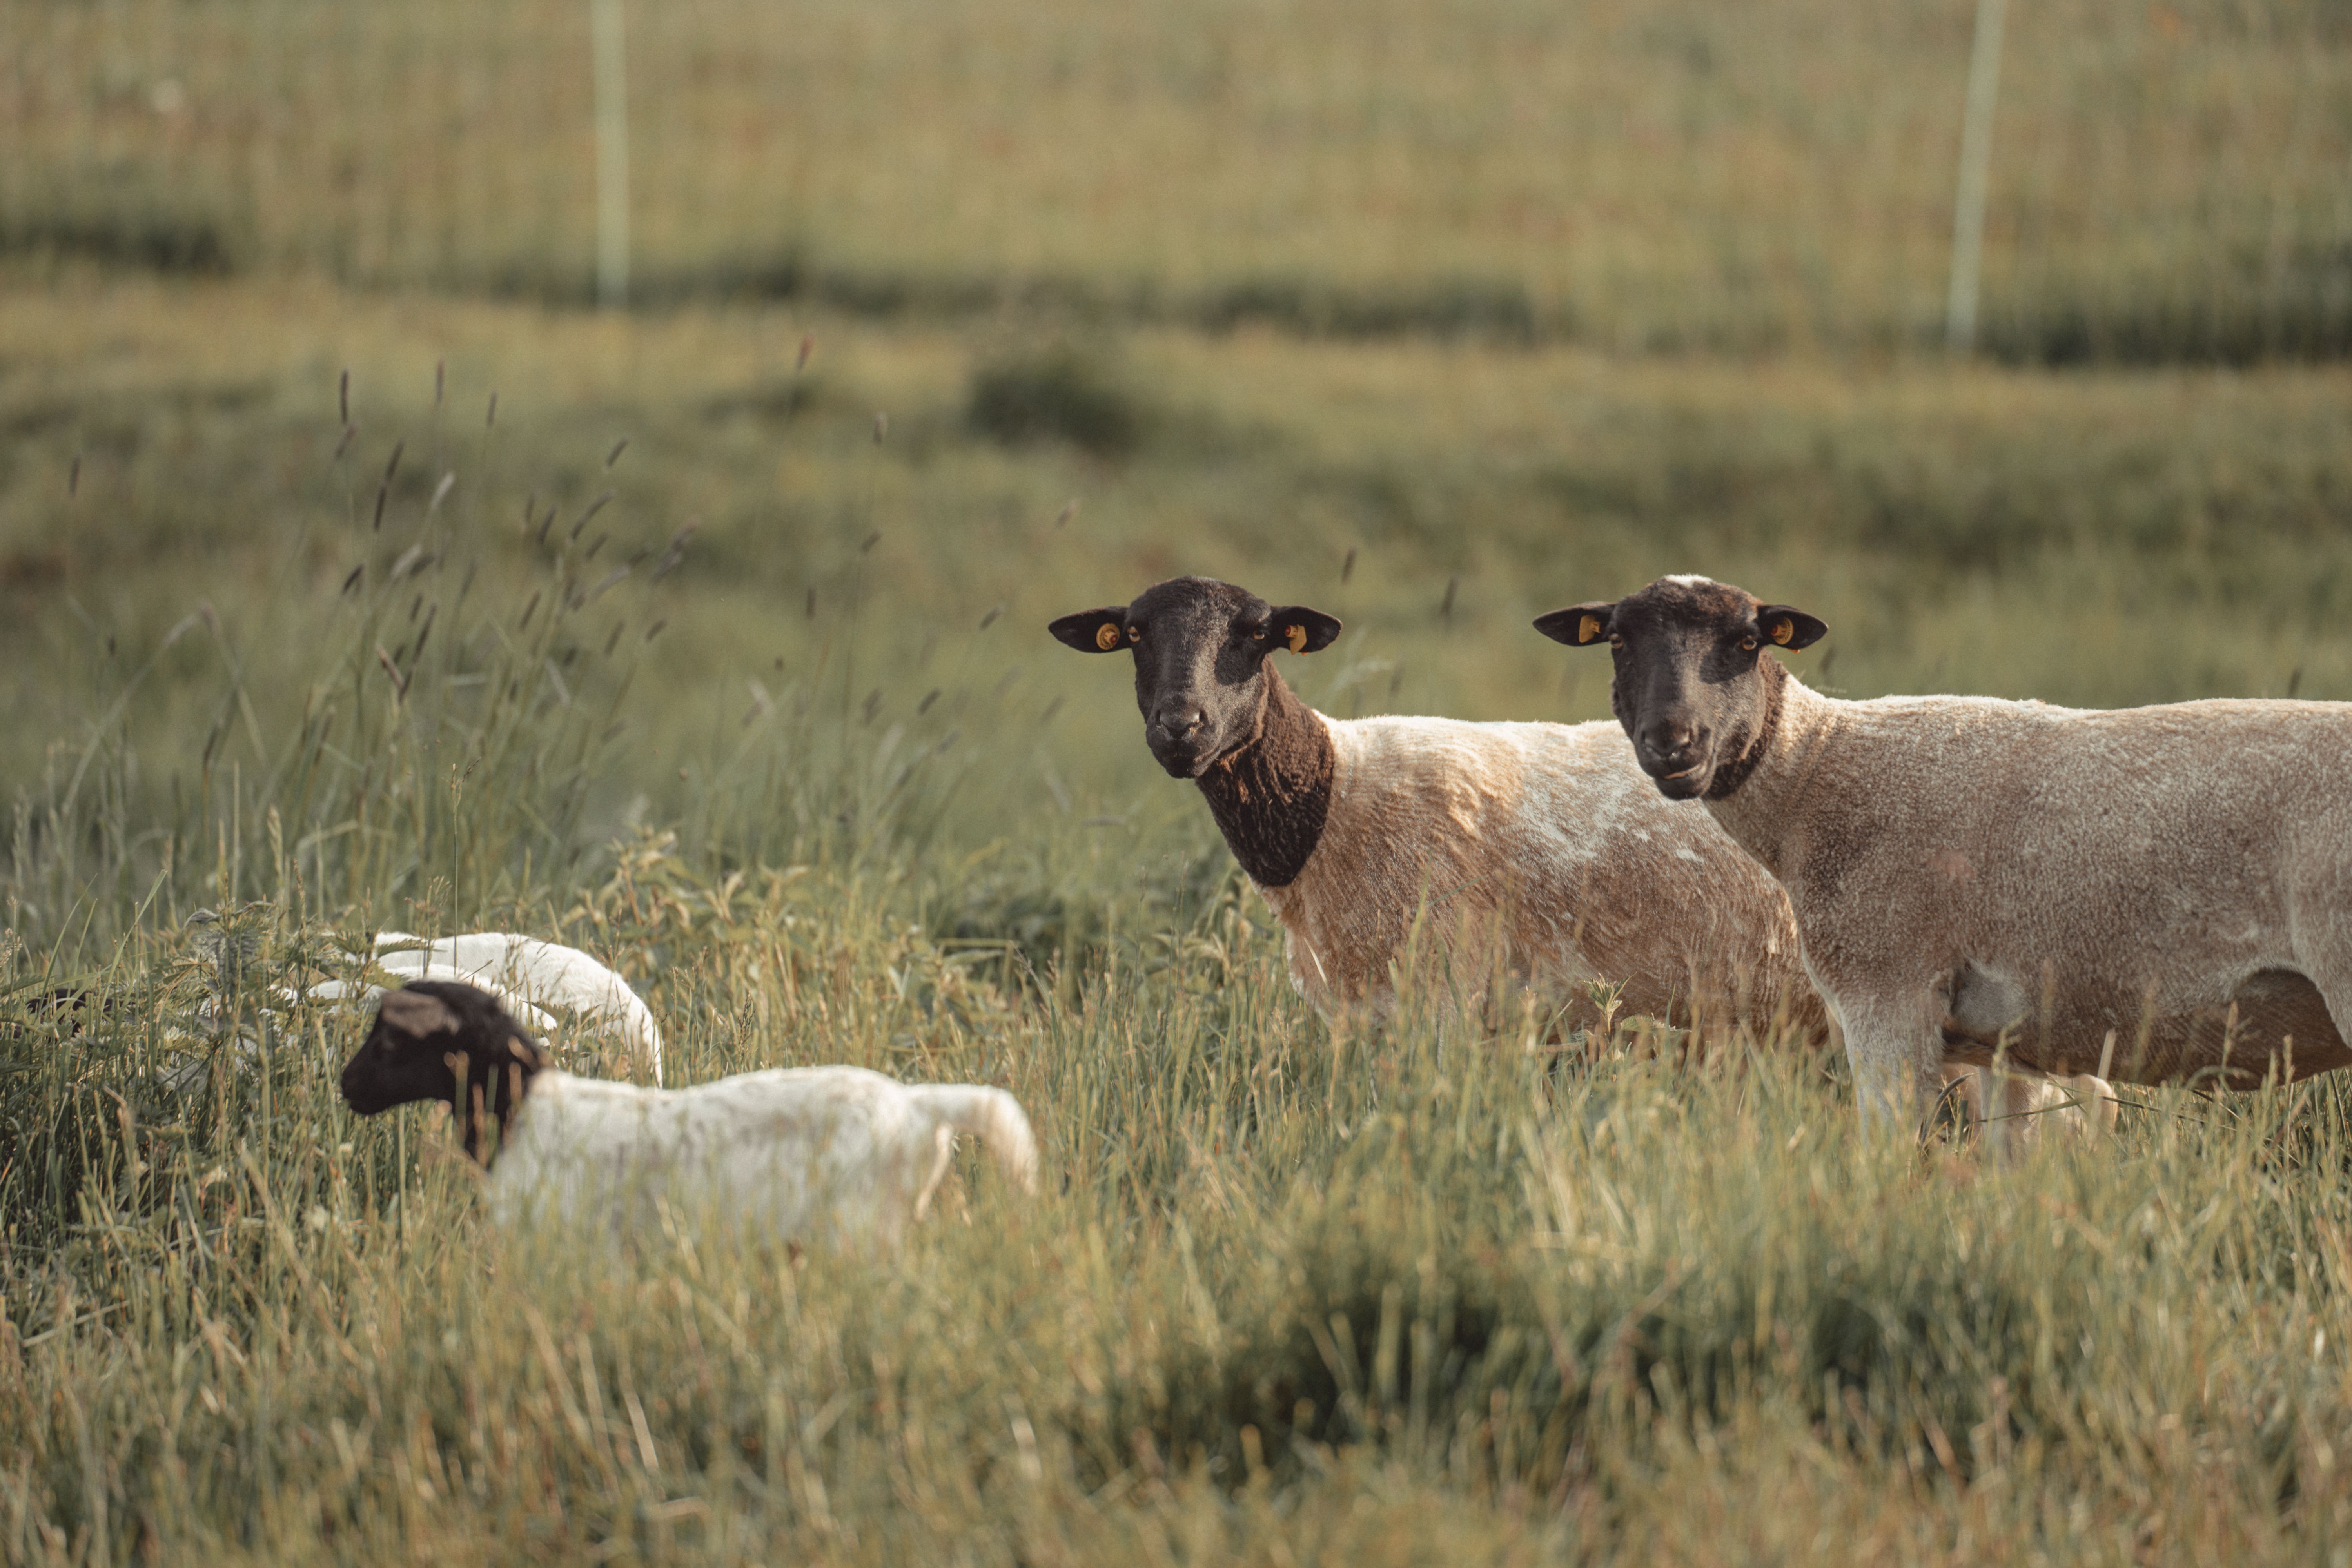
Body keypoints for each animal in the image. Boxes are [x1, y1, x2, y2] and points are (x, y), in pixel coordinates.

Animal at [1536, 573, 2352, 1133]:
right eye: (1618, 642)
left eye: (1747, 643)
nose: (1674, 746)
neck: (1815, 774)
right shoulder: (2005, 1049)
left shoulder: (1887, 994)